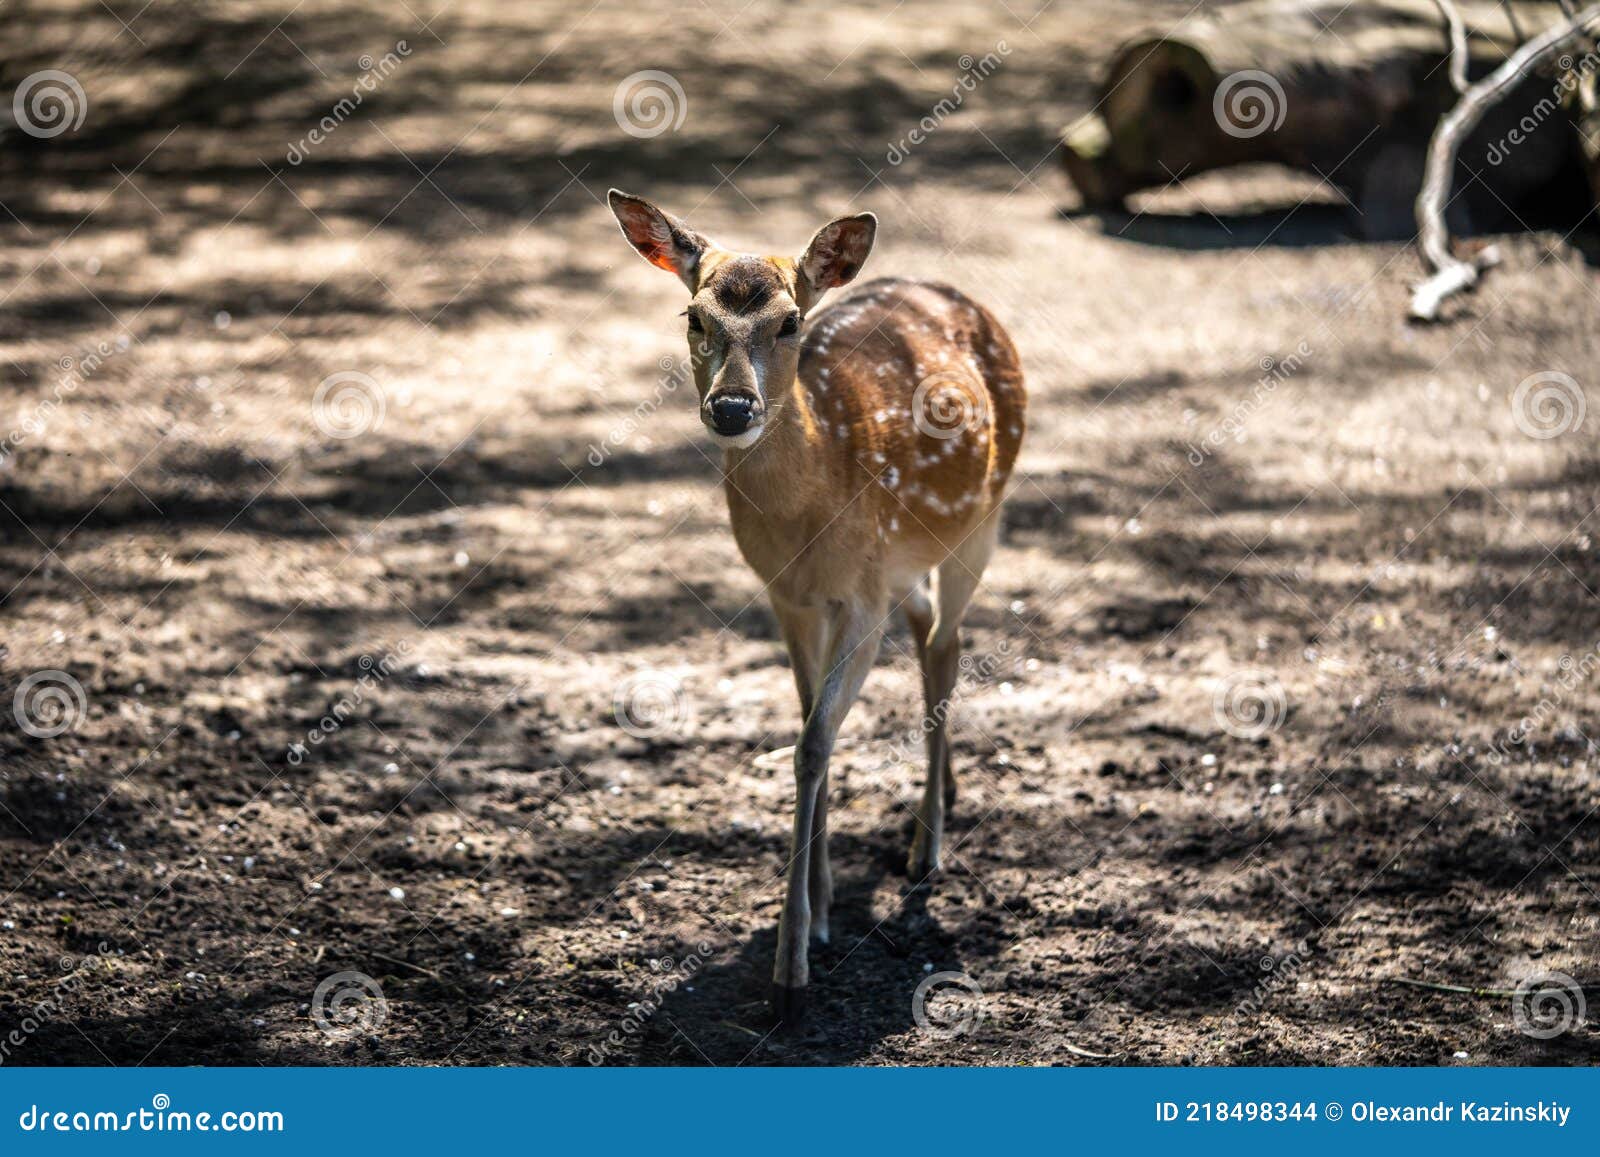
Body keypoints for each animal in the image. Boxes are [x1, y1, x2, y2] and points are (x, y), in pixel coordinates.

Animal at [607, 189, 1026, 1024]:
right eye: (693, 316)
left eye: (790, 320)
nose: (733, 407)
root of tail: (959, 294)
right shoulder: (789, 596)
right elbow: (811, 730)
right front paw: (825, 910)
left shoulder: (858, 598)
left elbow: (810, 744)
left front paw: (790, 971)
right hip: (902, 567)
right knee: (927, 630)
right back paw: (944, 794)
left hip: (982, 519)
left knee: (949, 643)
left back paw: (926, 847)